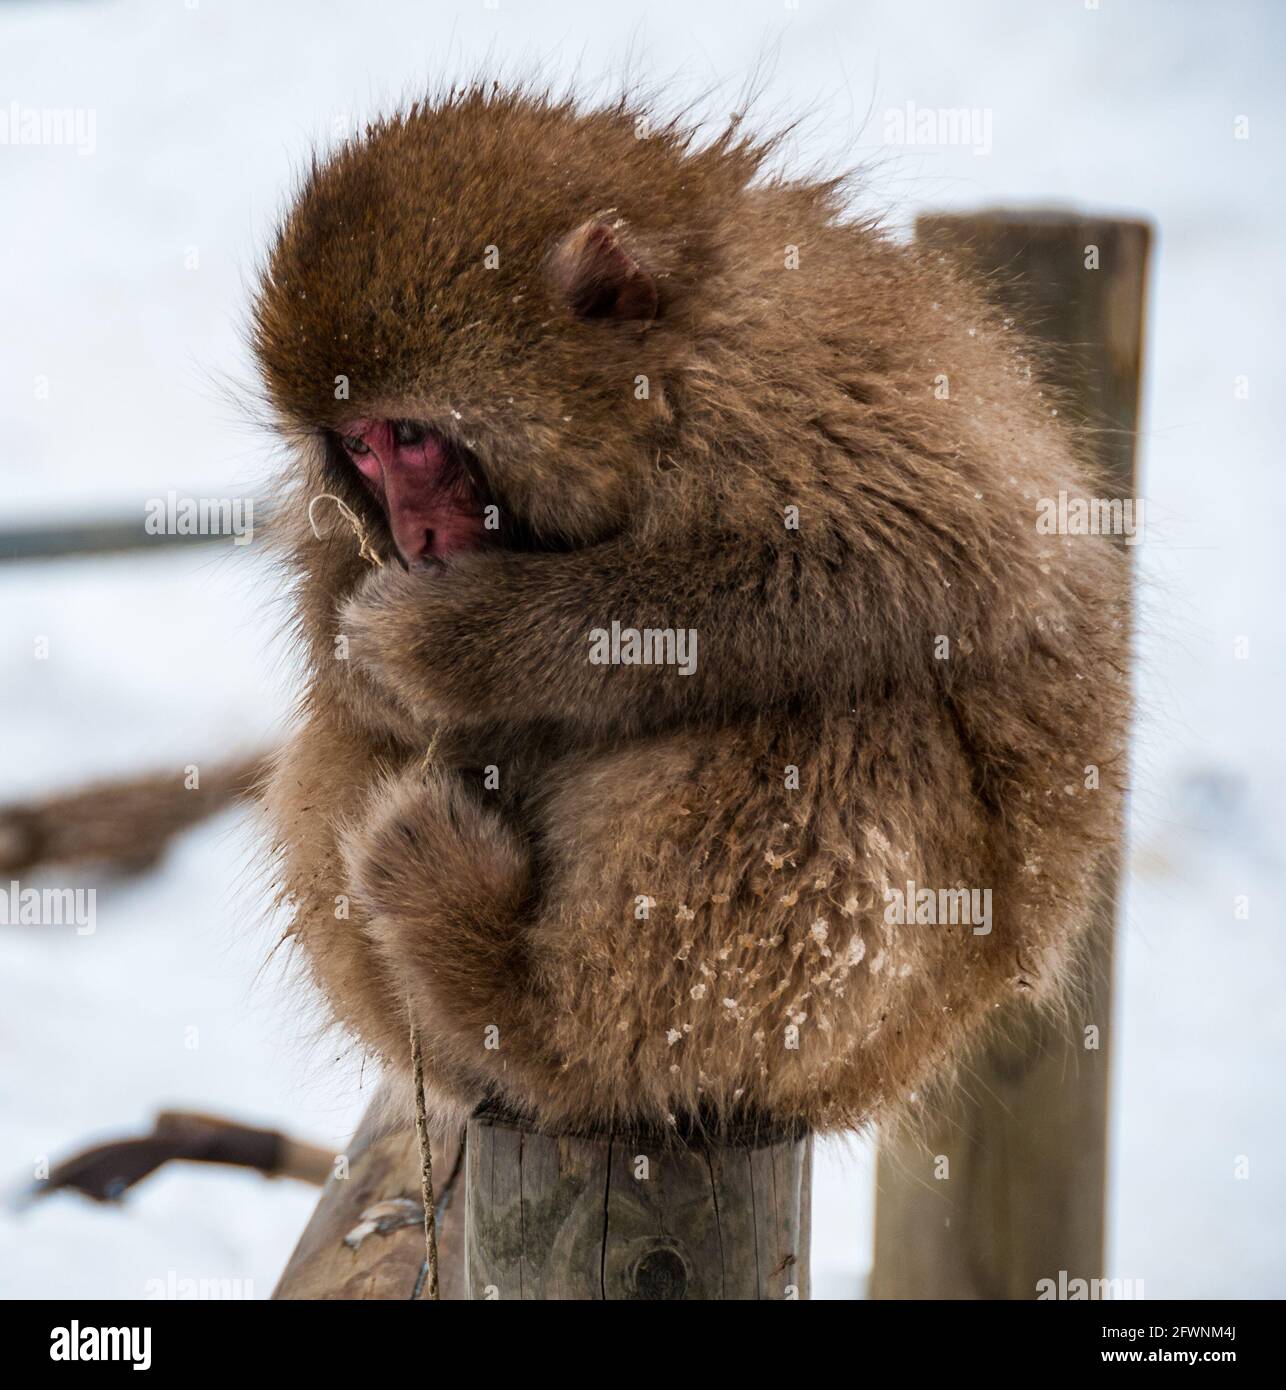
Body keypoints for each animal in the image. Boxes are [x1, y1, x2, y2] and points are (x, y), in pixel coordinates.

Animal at [253, 86, 1130, 1139]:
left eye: (414, 436)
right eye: (360, 447)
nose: (417, 534)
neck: (660, 389)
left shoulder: (785, 381)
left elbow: (928, 563)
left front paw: (453, 641)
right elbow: (337, 642)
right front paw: (381, 654)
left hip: (871, 1037)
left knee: (841, 709)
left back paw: (529, 1014)